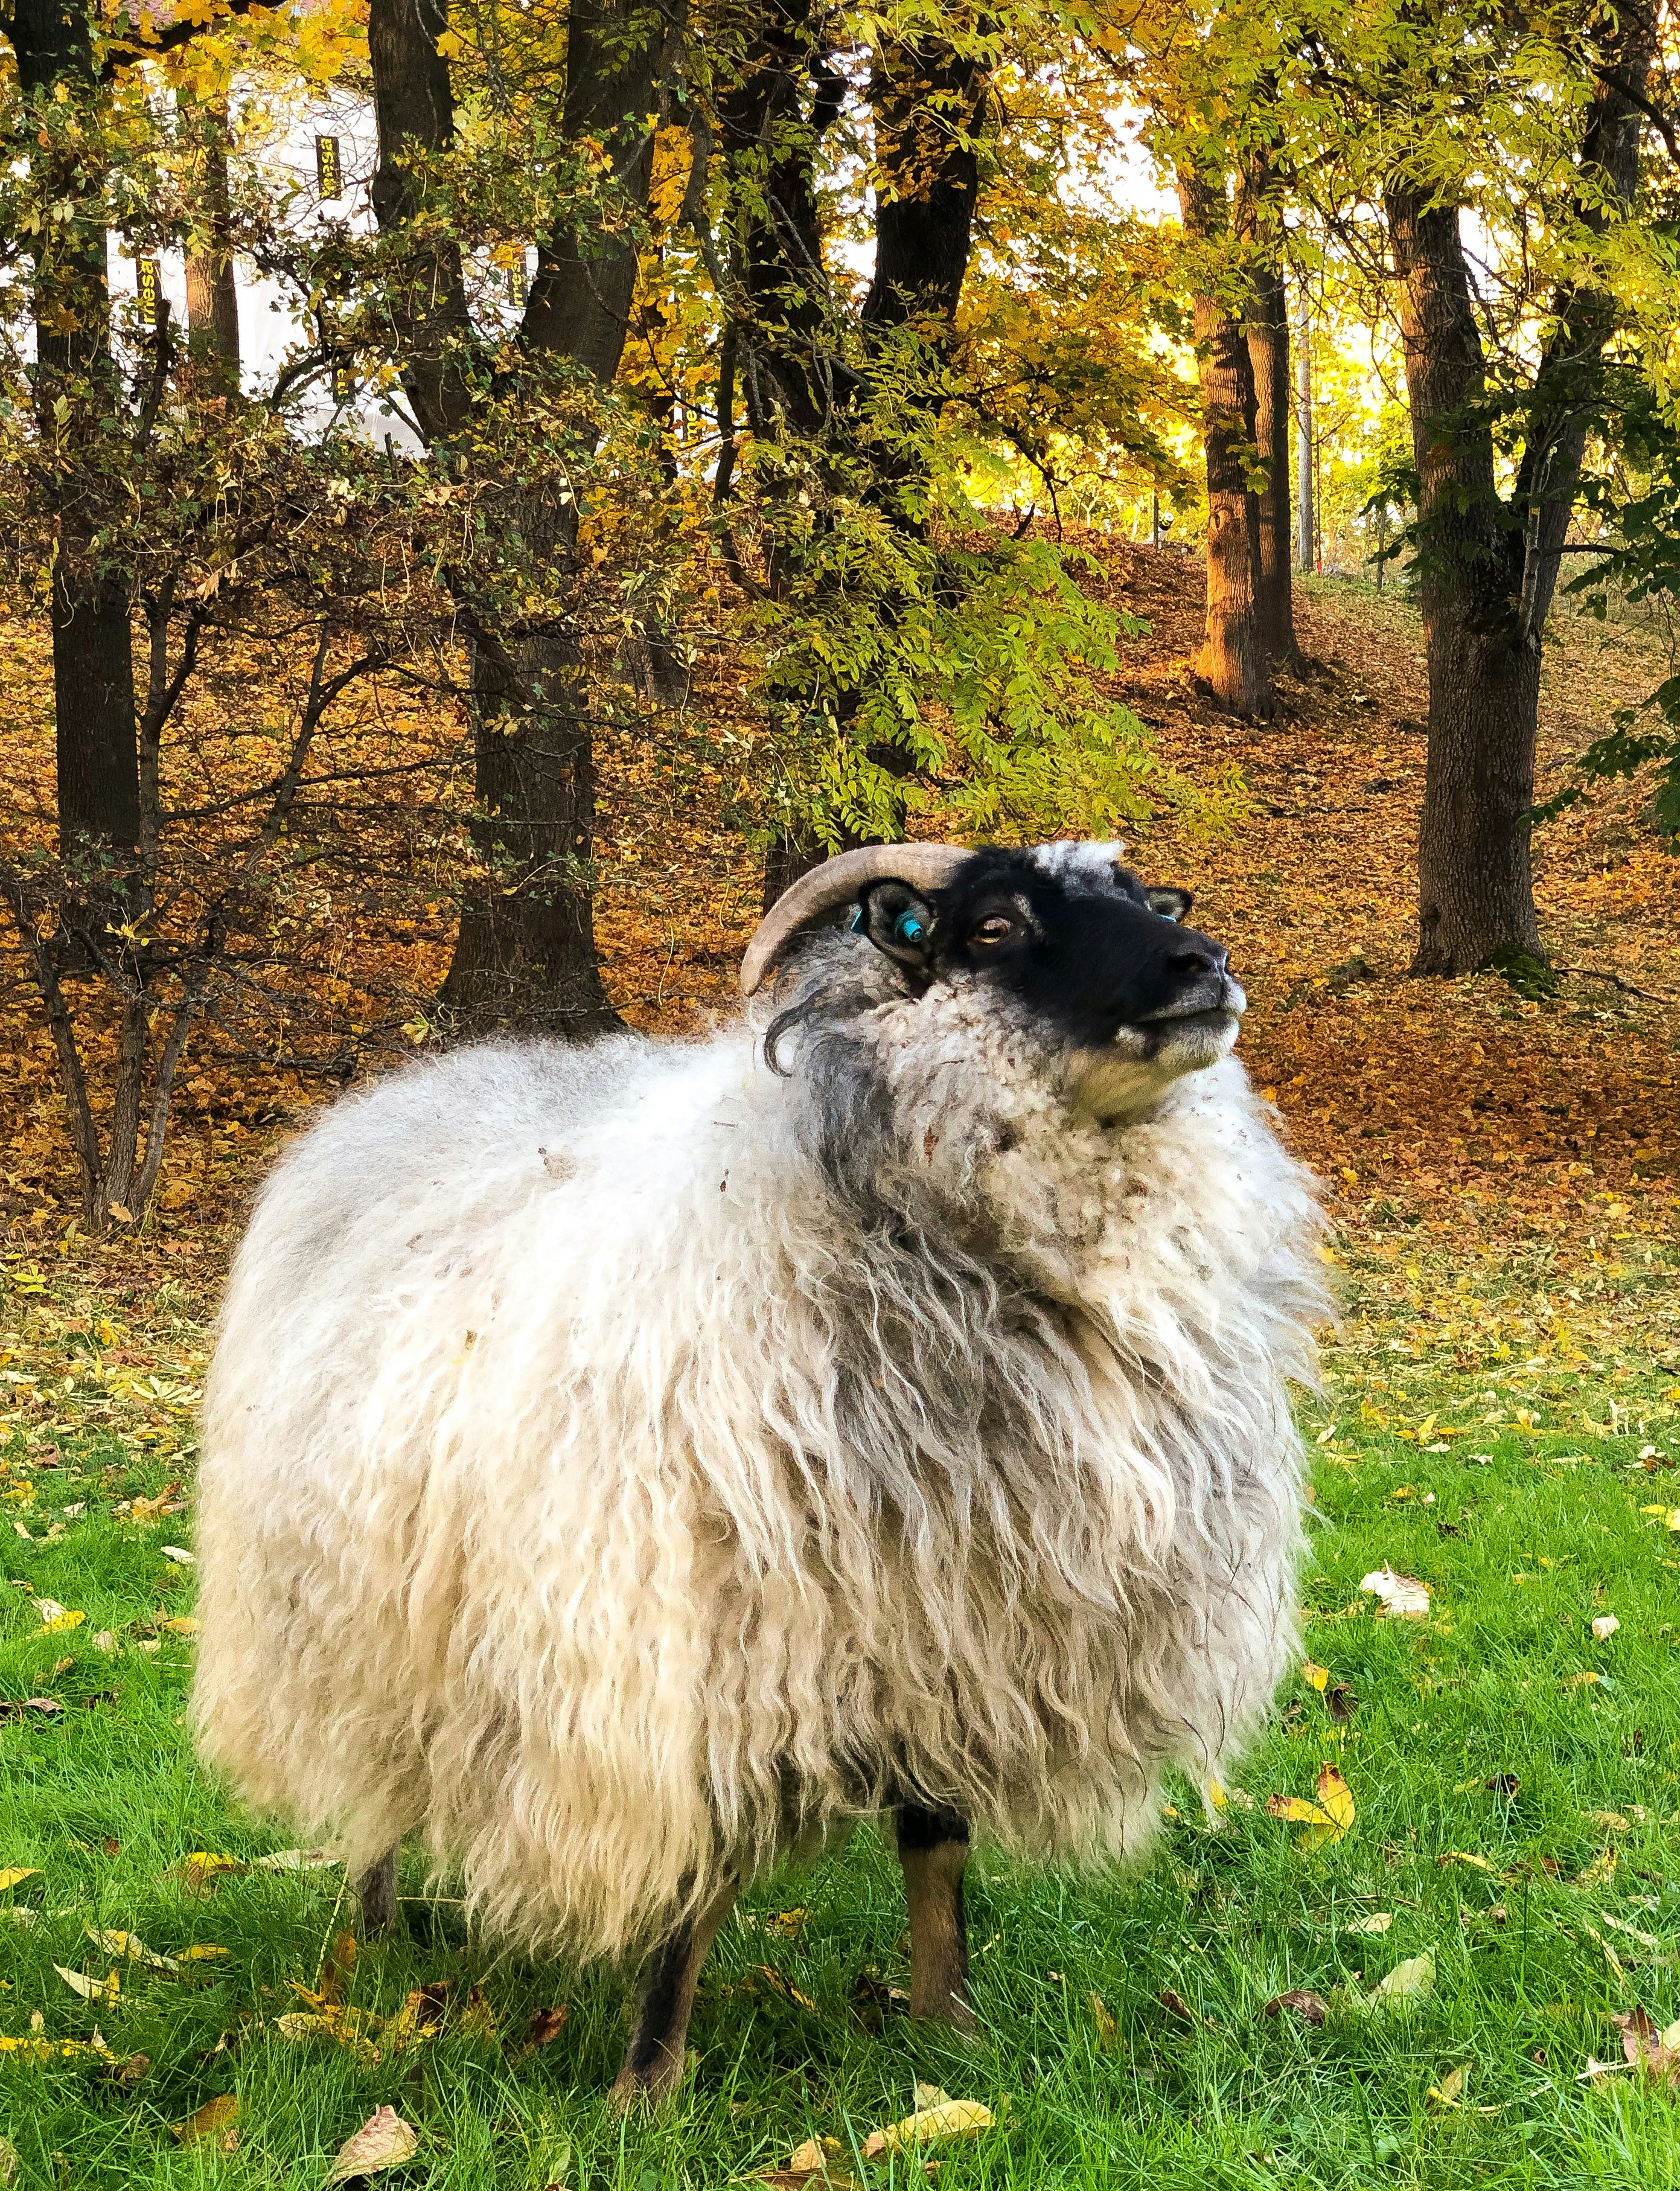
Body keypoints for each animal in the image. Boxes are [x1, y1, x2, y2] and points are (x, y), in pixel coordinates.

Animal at [192, 839, 1327, 2102]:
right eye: (990, 928)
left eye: (1148, 901)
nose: (1201, 962)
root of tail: (381, 1101)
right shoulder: (710, 1644)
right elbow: (695, 1884)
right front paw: (645, 2086)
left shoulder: (947, 1624)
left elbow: (937, 1842)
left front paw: (949, 2033)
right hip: (350, 1612)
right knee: (374, 1784)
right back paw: (379, 1931)